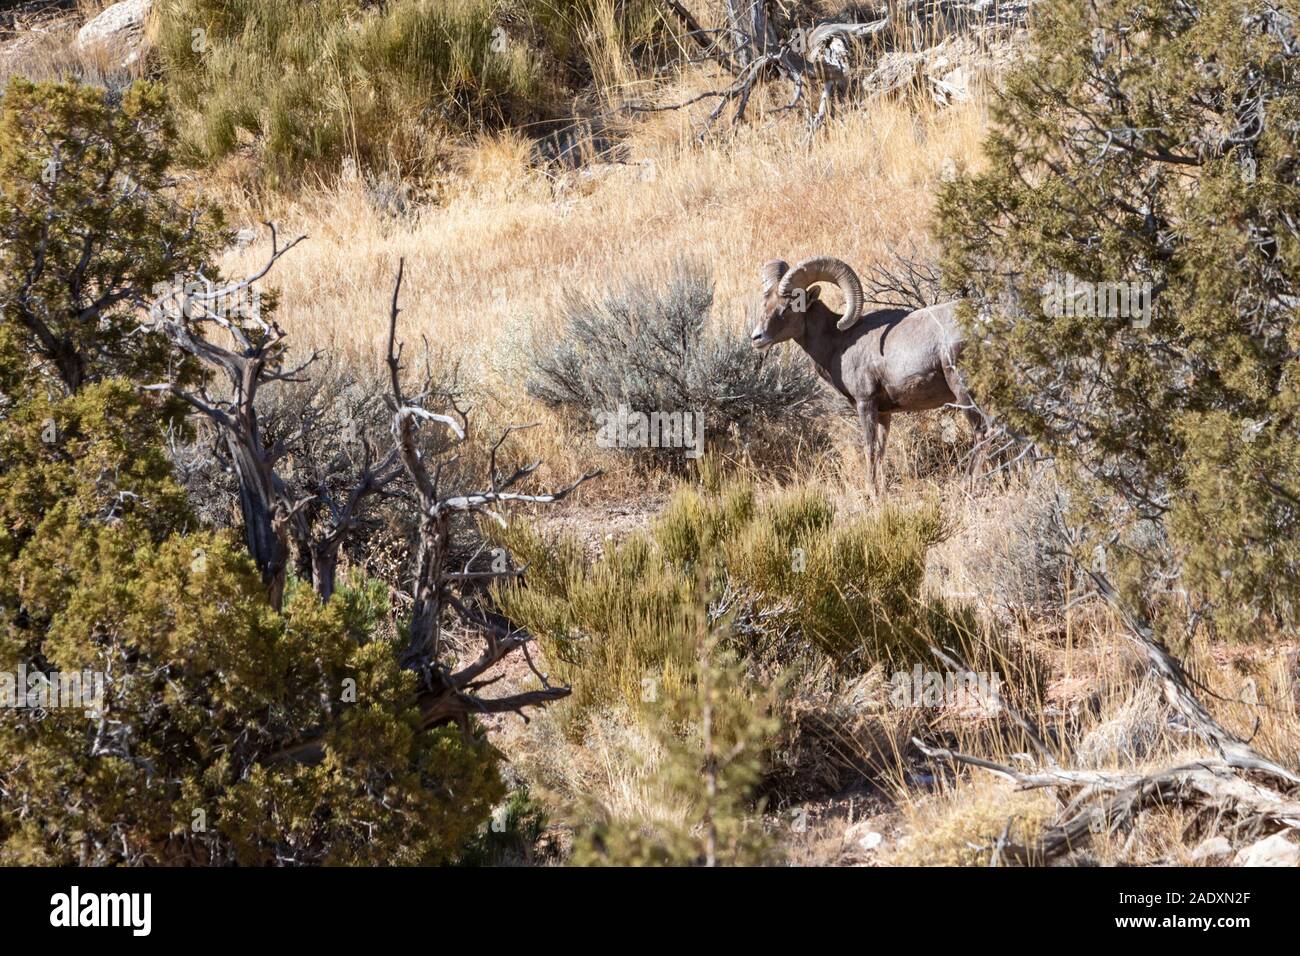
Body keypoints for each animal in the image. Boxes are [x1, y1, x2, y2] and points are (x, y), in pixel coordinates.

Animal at [750, 256, 983, 494]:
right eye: (765, 302)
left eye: (789, 306)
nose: (757, 338)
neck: (838, 341)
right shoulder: (884, 413)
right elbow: (880, 449)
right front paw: (882, 490)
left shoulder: (866, 403)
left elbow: (869, 448)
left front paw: (872, 492)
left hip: (964, 392)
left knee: (981, 432)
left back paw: (967, 485)